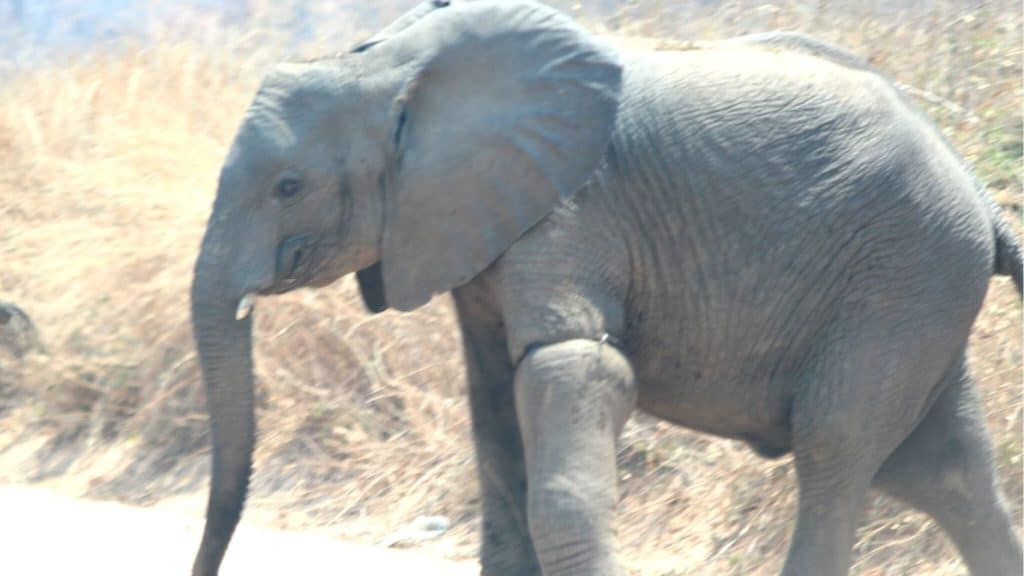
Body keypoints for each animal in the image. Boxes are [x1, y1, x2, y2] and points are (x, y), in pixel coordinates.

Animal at [188, 1, 1024, 575]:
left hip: (904, 274)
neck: (390, 70)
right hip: (923, 288)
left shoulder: (574, 206)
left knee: (837, 449)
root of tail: (984, 201)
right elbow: (493, 404)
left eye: (288, 186)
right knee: (942, 471)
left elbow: (571, 366)